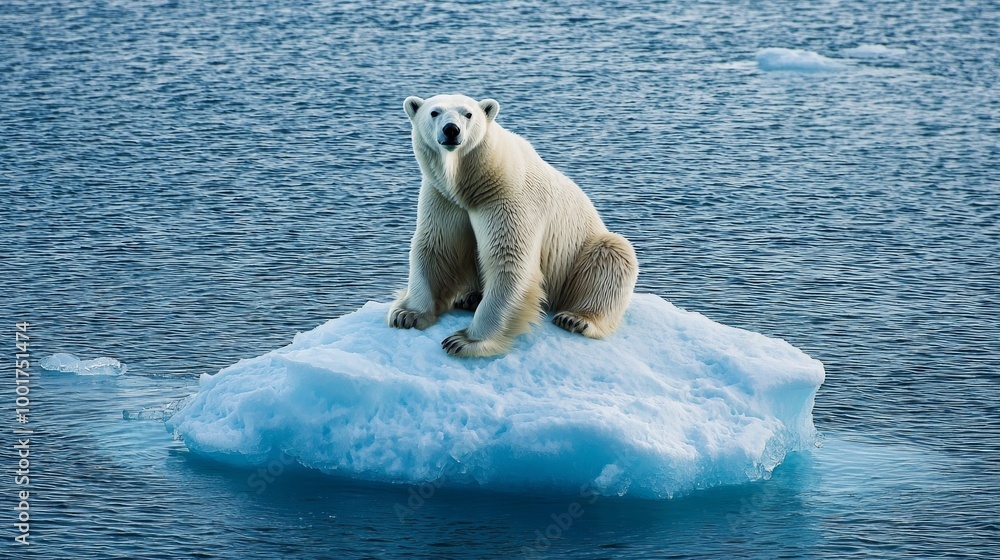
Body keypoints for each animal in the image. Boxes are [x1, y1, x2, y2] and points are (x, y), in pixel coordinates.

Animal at [387, 94, 638, 358]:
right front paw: (407, 314)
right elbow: (437, 247)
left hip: (580, 255)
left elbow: (509, 259)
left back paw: (576, 319)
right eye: (434, 112)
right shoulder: (443, 198)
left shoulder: (509, 196)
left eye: (468, 114)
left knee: (612, 253)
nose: (451, 130)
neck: (474, 182)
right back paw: (469, 297)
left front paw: (465, 341)